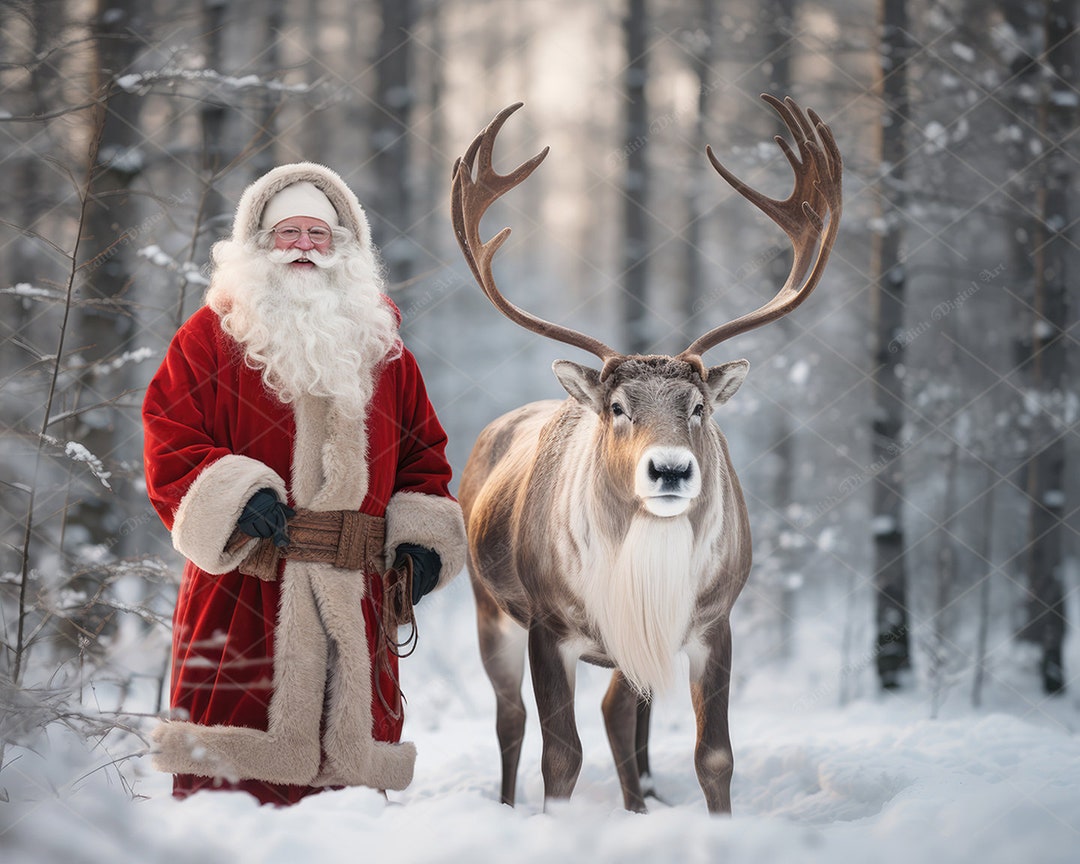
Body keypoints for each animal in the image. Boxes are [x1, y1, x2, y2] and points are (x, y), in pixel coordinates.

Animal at [450, 95, 842, 815]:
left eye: (699, 407)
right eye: (617, 407)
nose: (669, 468)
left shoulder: (712, 621)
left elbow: (714, 753)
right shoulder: (549, 622)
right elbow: (560, 755)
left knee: (617, 713)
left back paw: (639, 804)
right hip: (488, 606)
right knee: (511, 718)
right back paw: (508, 803)